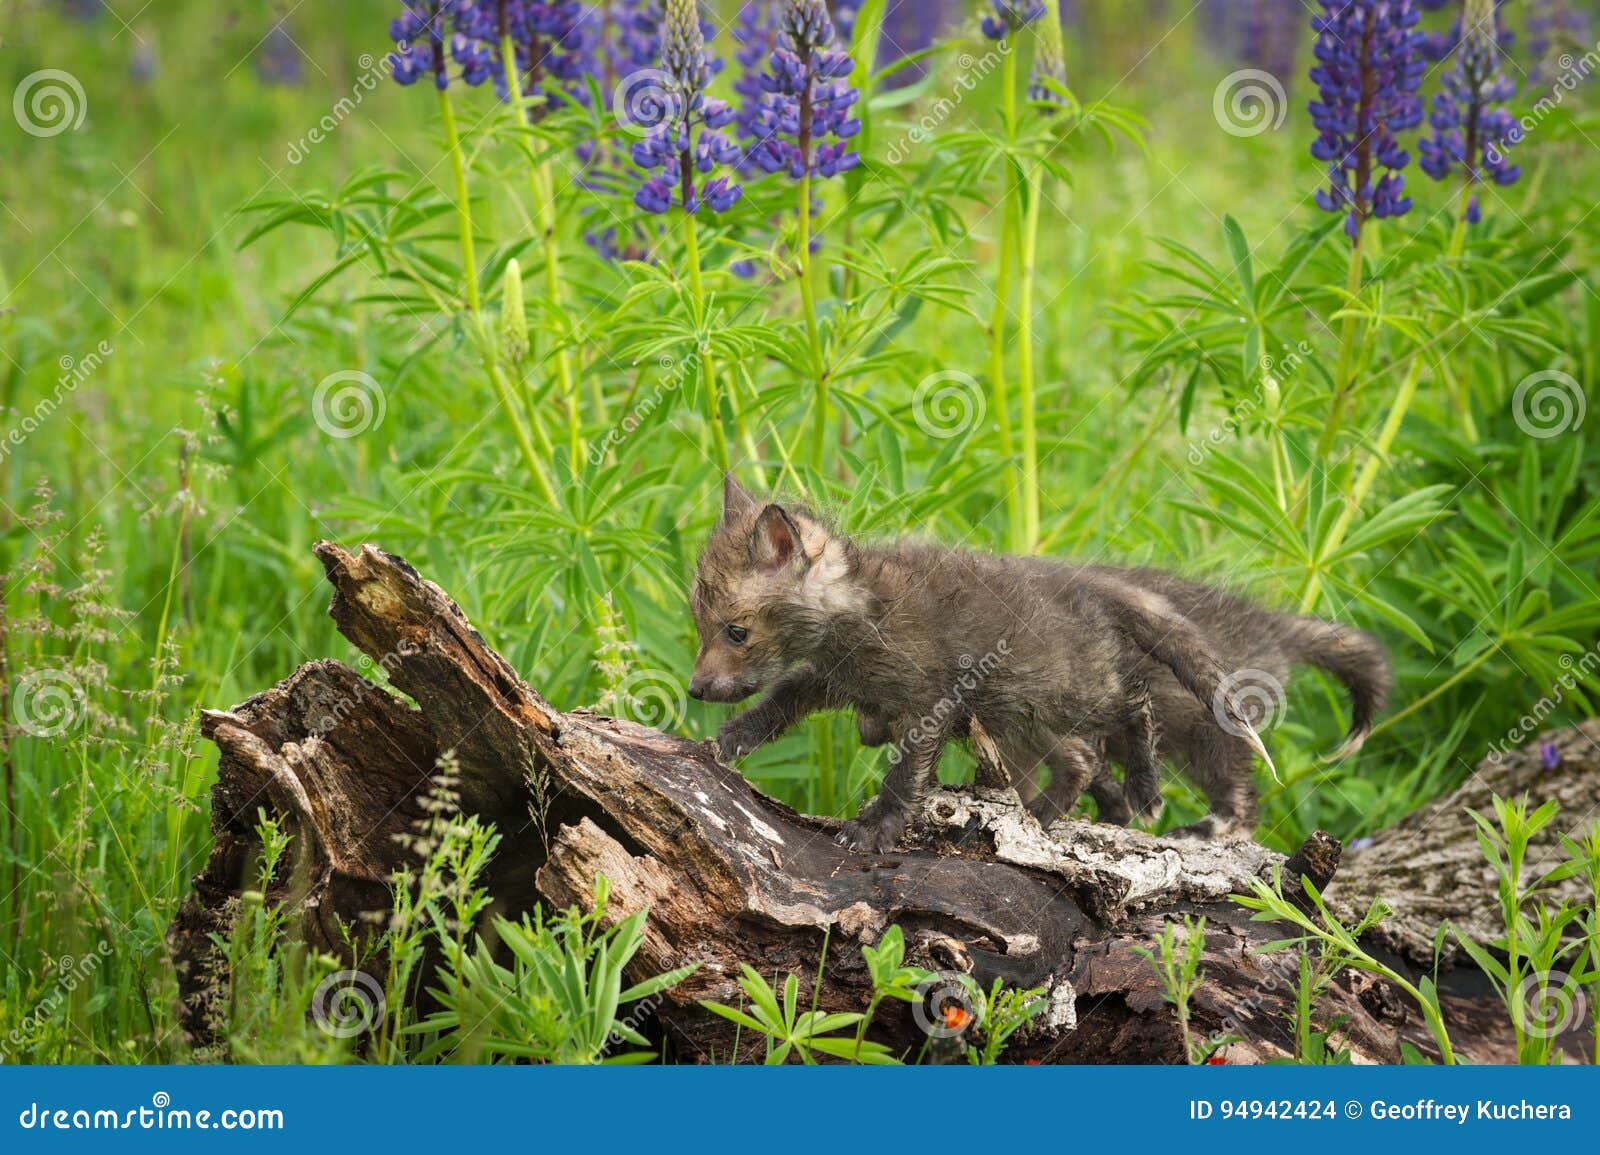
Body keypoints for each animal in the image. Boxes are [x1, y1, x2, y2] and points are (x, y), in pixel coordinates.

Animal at [689, 476, 1389, 851]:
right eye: (700, 625)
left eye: (736, 630)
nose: (695, 688)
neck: (861, 608)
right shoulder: (834, 679)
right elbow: (778, 702)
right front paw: (725, 742)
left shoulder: (929, 700)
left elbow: (905, 773)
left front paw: (876, 827)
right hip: (1025, 709)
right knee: (1082, 758)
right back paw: (1056, 815)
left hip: (1086, 697)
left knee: (1158, 729)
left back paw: (1164, 803)